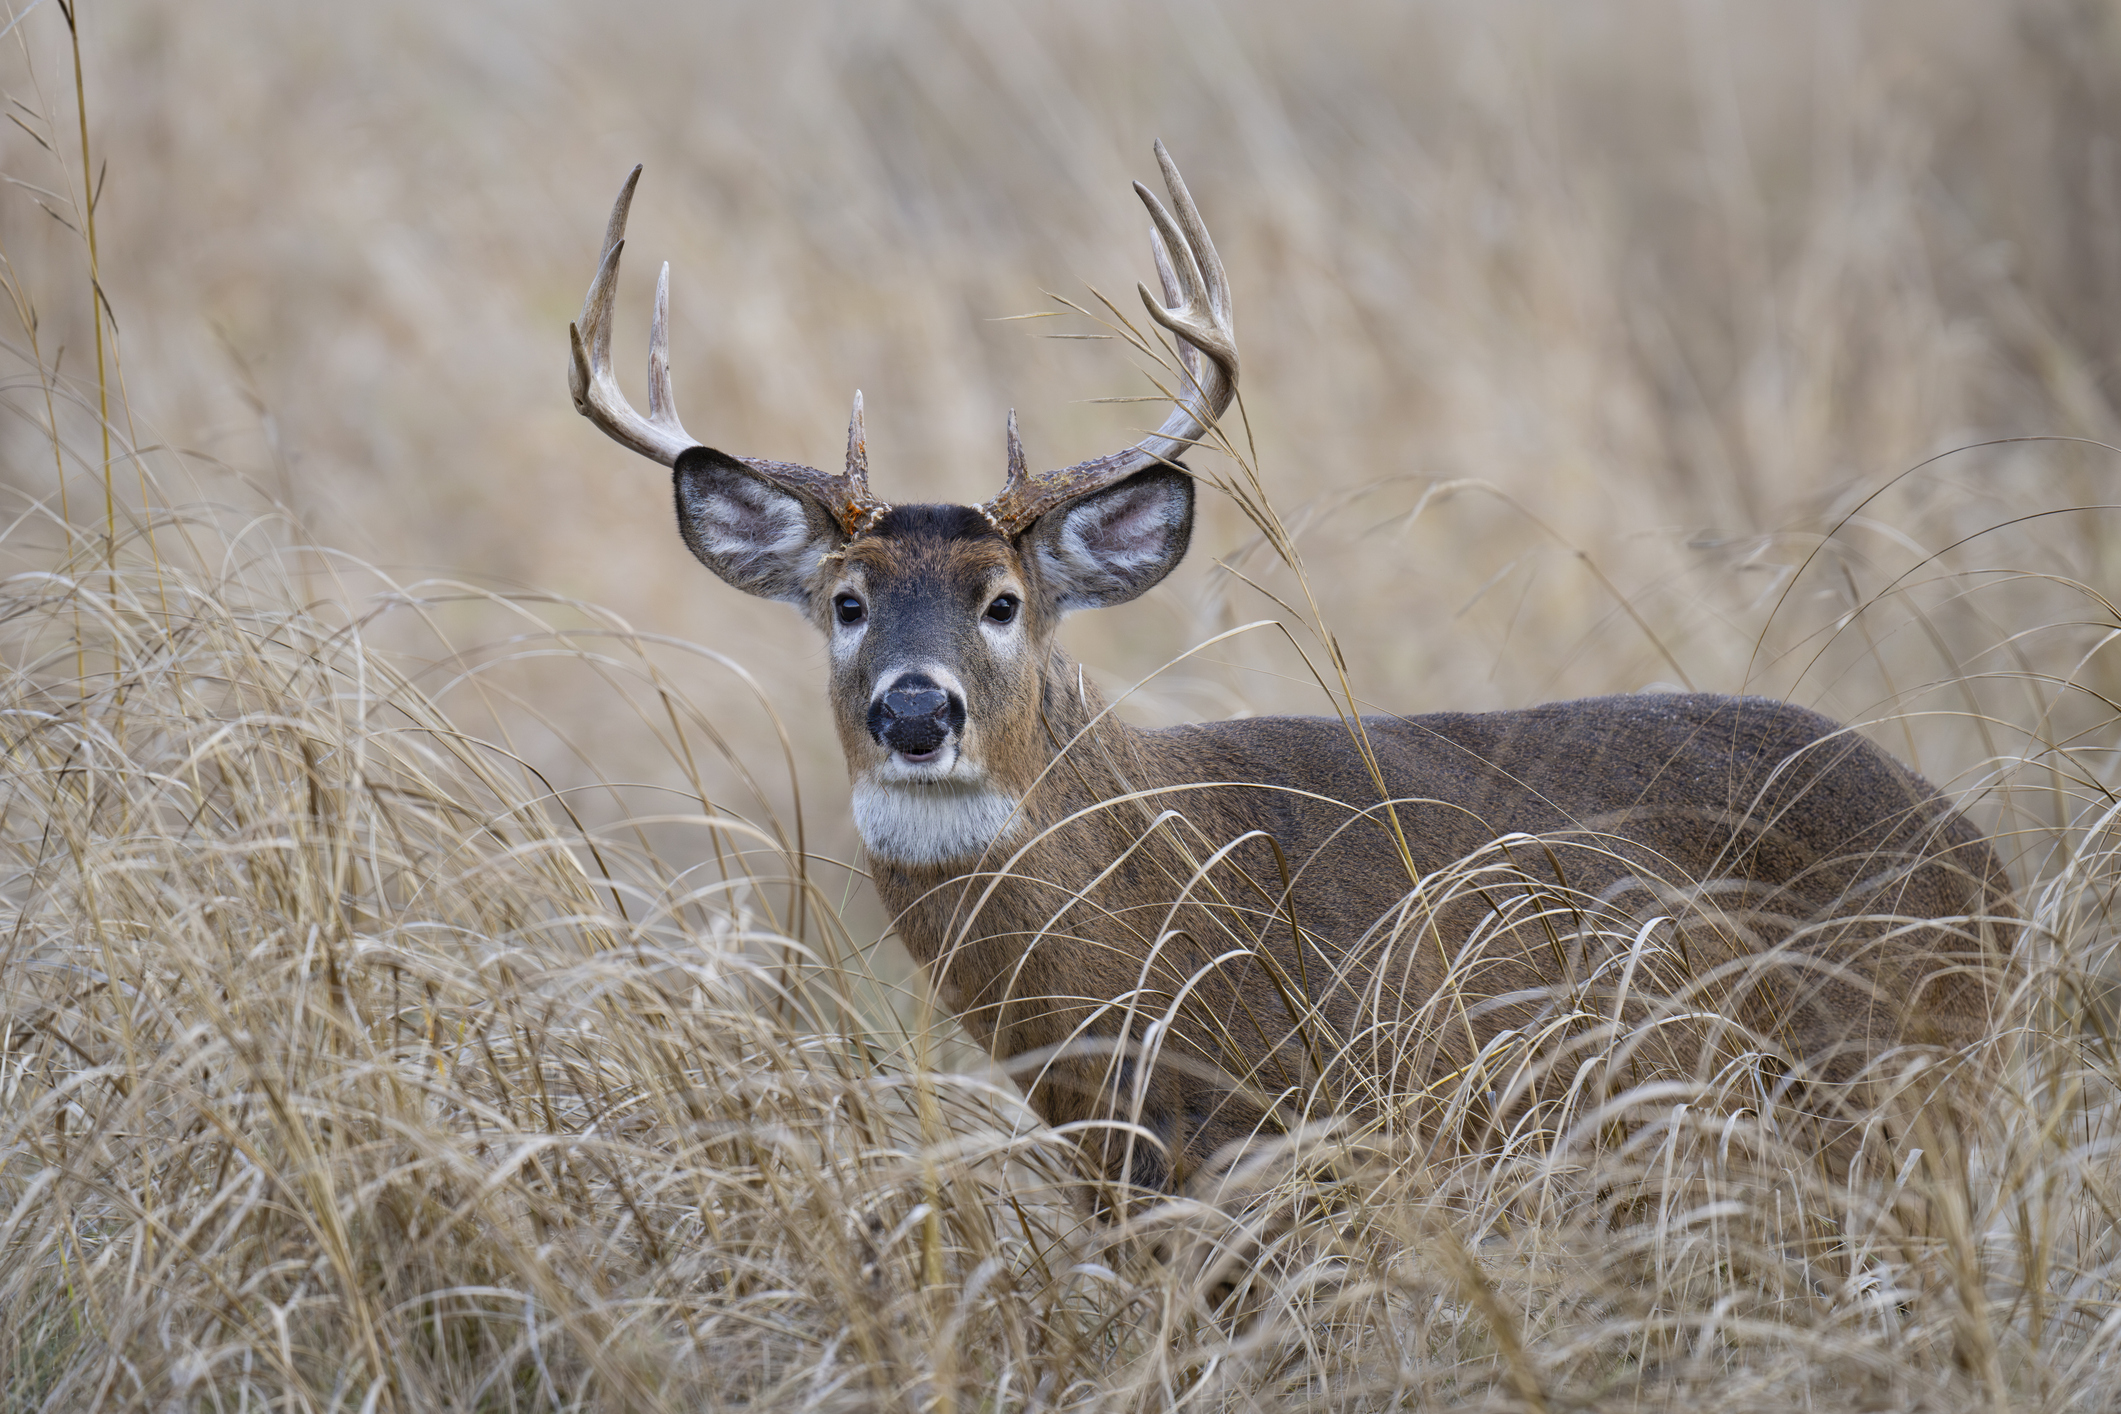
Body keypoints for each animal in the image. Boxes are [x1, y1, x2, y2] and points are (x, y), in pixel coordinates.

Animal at [568, 146, 2013, 1196]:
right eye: (845, 602)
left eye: (1004, 602)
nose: (915, 709)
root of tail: (1990, 872)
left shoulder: (1323, 1121)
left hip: (1890, 1089)